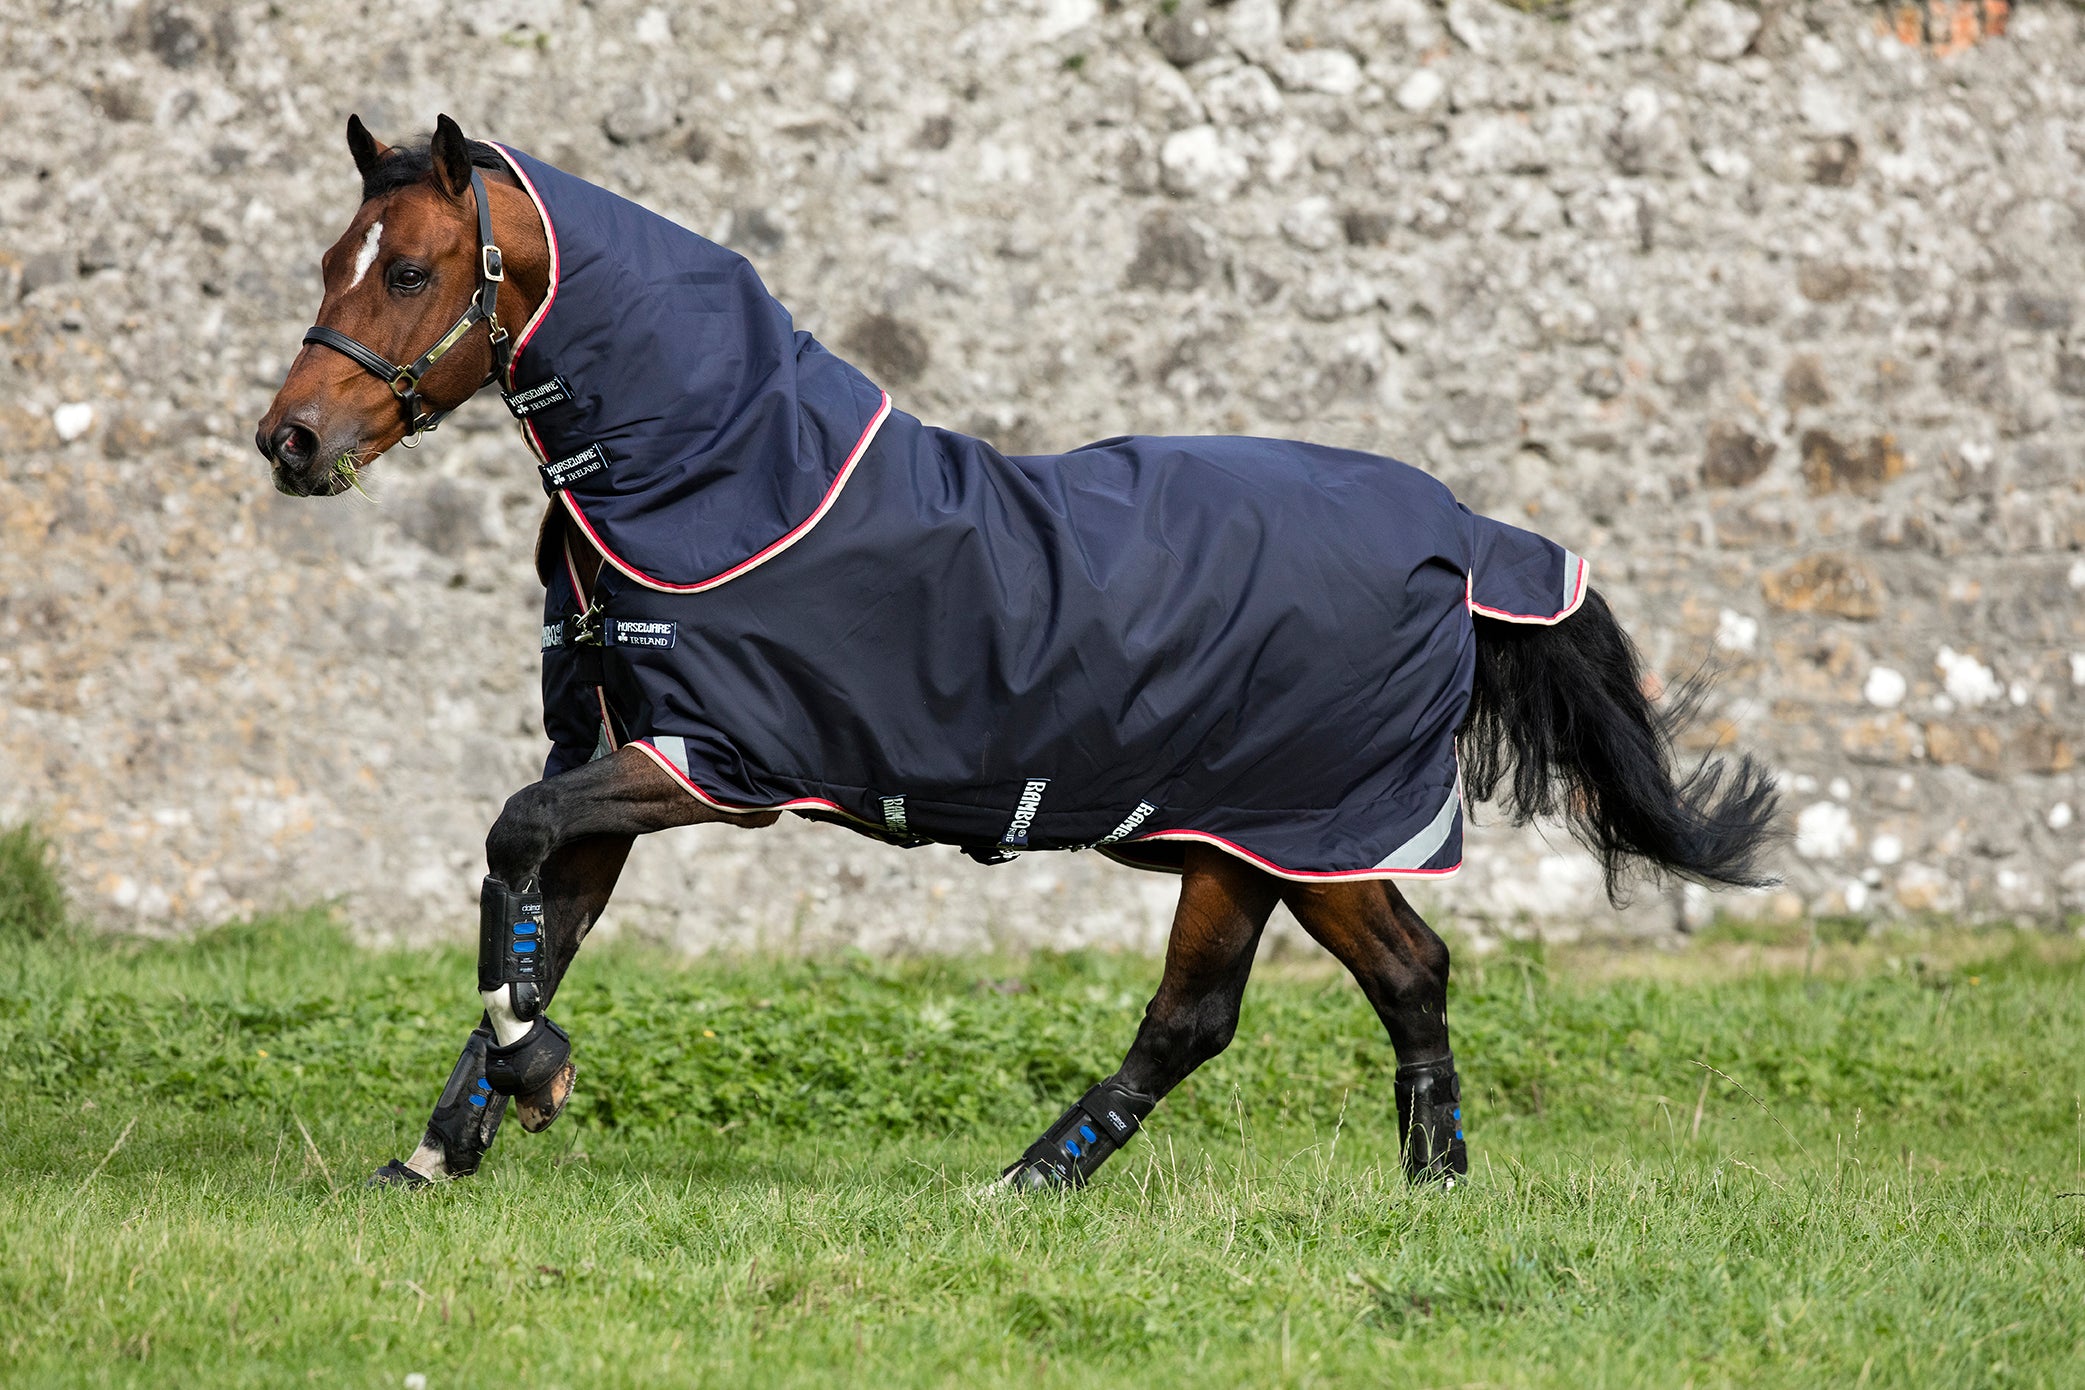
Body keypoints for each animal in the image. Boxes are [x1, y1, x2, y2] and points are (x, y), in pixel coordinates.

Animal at [255, 115, 1778, 1192]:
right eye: (330, 261)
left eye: (409, 269)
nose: (291, 440)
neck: (735, 473)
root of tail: (1461, 534)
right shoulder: (626, 760)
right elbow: (540, 919)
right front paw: (449, 1139)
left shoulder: (714, 766)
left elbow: (512, 841)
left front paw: (534, 1077)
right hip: (1263, 841)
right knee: (1345, 985)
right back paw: (1394, 1181)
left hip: (1291, 828)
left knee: (1256, 1002)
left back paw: (1058, 1177)